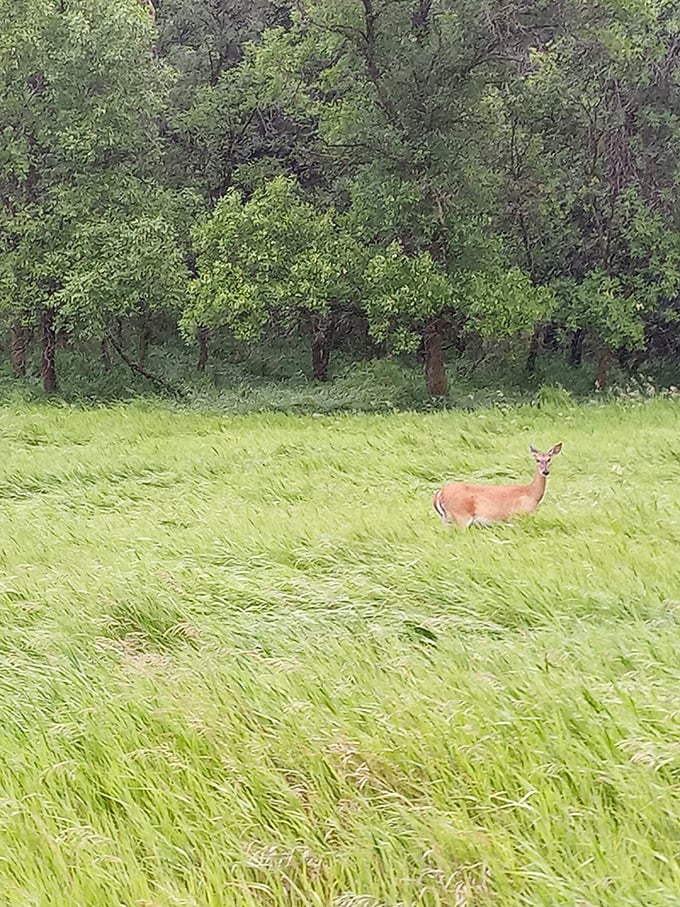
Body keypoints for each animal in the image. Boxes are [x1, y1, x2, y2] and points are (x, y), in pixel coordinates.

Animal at [433, 443, 562, 527]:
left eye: (549, 459)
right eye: (537, 460)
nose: (545, 471)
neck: (532, 494)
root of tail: (440, 493)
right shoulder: (515, 517)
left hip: (446, 519)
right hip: (461, 515)